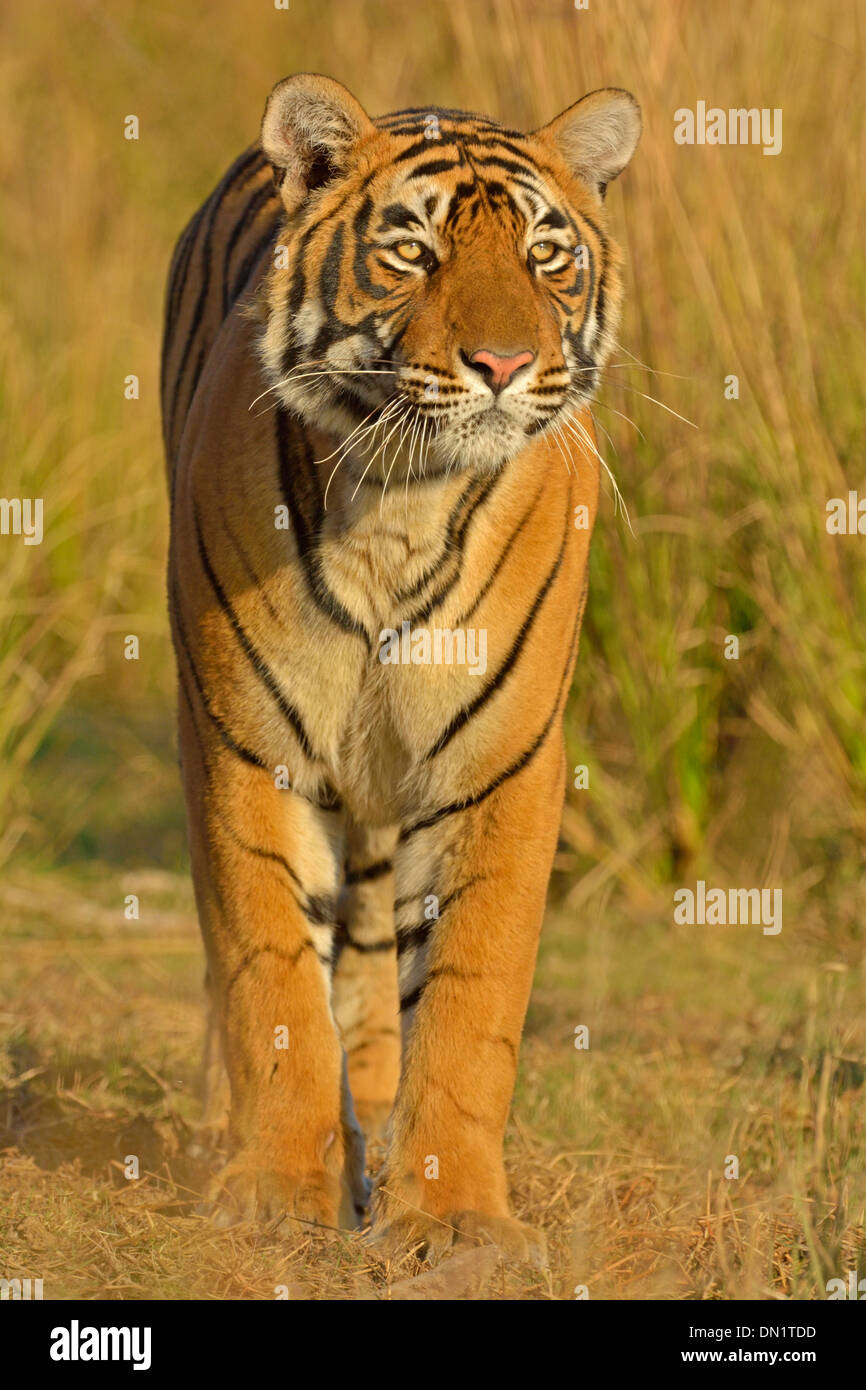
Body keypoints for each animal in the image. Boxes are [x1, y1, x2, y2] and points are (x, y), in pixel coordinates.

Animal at [161, 73, 640, 1264]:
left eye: (545, 256)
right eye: (412, 253)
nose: (504, 366)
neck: (400, 507)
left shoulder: (504, 765)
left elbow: (469, 1001)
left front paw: (455, 1213)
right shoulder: (246, 748)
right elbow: (273, 976)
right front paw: (279, 1189)